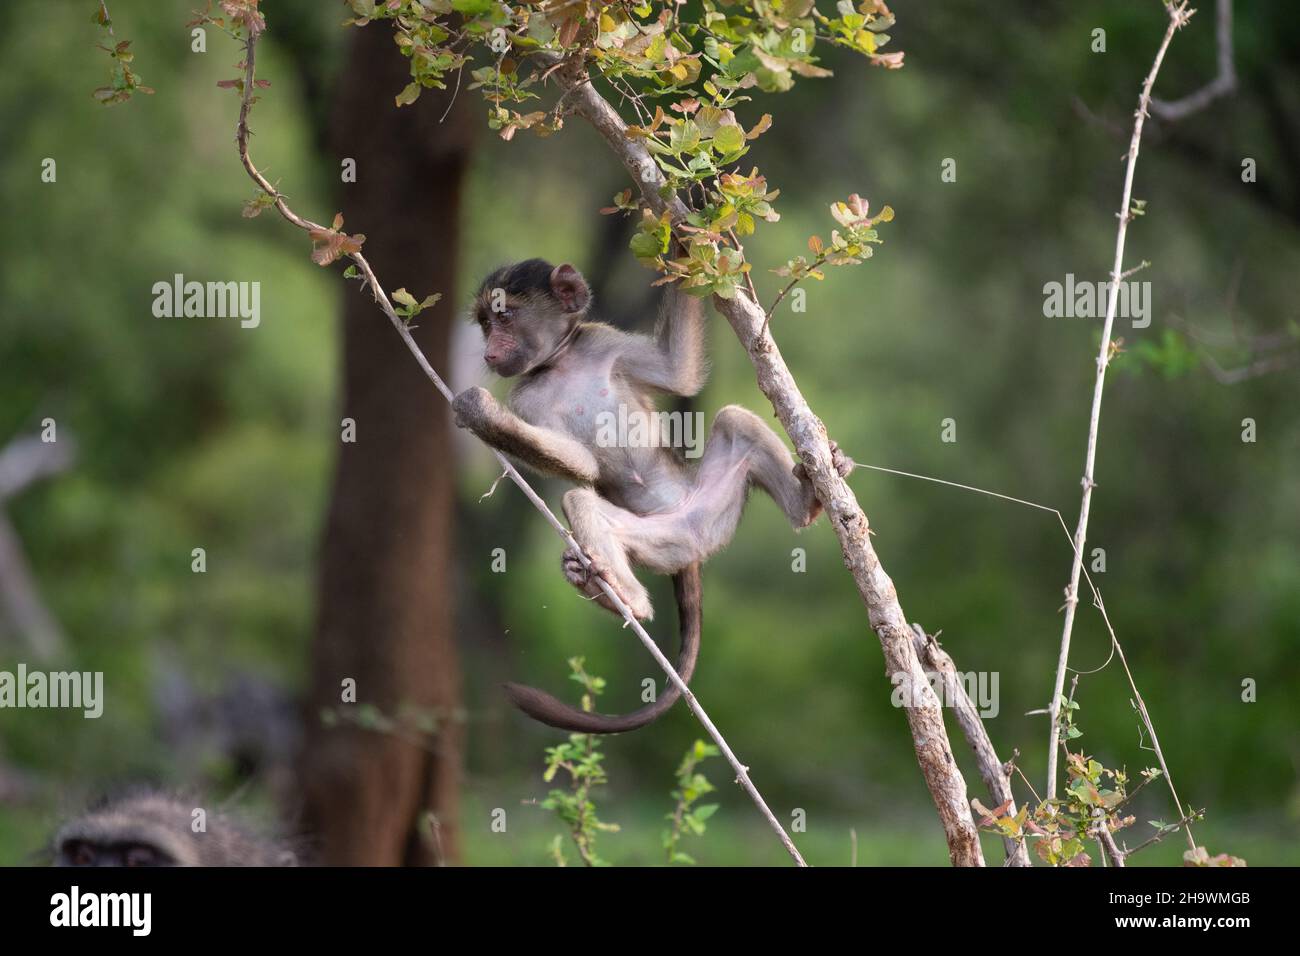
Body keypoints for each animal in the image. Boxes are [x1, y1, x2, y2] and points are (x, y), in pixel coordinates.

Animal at [453, 259, 854, 734]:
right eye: (484, 324)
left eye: (505, 316)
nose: (488, 353)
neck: (560, 362)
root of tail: (696, 546)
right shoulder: (525, 398)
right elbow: (583, 465)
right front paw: (479, 412)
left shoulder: (604, 342)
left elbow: (676, 370)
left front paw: (689, 240)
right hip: (664, 541)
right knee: (580, 501)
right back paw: (622, 596)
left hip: (711, 507)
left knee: (733, 419)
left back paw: (807, 501)